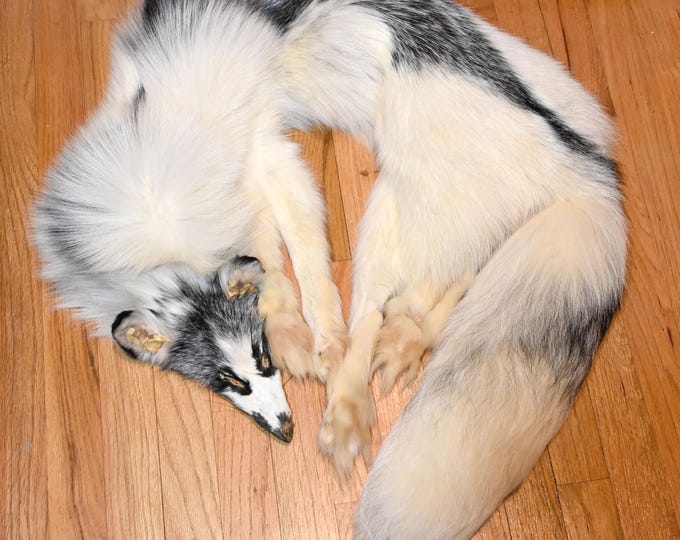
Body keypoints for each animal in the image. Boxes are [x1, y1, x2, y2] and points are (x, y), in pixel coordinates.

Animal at [32, 0, 627, 538]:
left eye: (259, 361)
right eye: (223, 382)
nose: (285, 431)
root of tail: (585, 167)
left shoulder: (265, 155)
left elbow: (302, 256)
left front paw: (307, 337)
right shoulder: (249, 182)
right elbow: (271, 262)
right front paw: (289, 330)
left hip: (394, 205)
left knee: (375, 310)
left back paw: (348, 403)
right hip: (439, 199)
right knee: (458, 272)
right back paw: (406, 339)